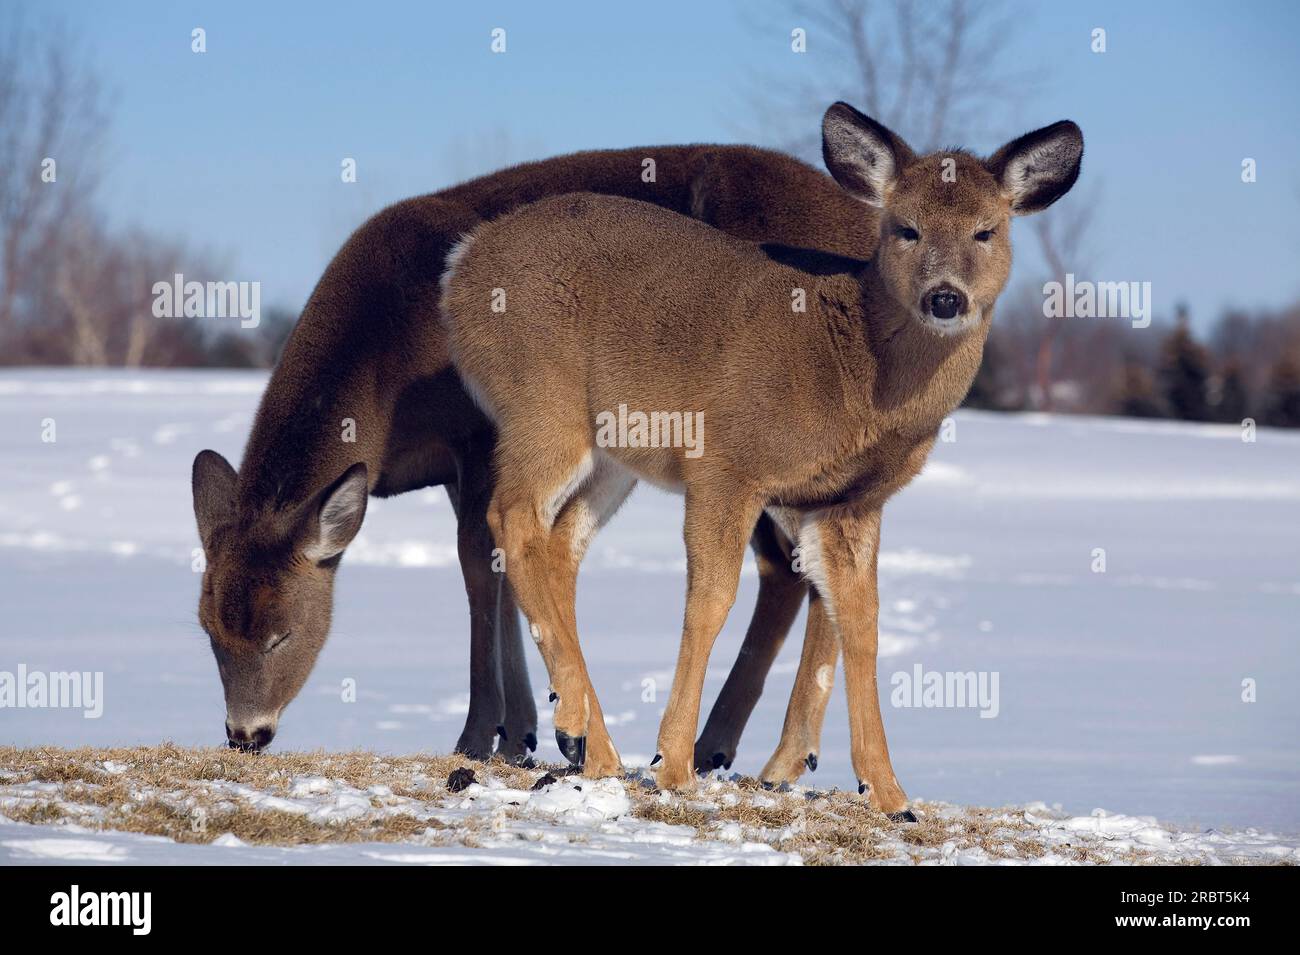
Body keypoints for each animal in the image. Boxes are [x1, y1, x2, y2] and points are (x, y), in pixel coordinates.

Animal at [189, 137, 888, 778]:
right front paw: (519, 731)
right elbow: (497, 570)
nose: (245, 734)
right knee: (797, 569)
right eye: (209, 630)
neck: (385, 360)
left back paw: (763, 755)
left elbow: (480, 566)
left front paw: (479, 734)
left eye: (282, 634)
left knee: (798, 568)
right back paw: (743, 750)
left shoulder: (477, 433)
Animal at [440, 103, 1083, 817]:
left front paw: (889, 792)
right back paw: (582, 729)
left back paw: (592, 748)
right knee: (513, 516)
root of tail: (460, 263)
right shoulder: (728, 464)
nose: (945, 297)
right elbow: (711, 600)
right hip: (543, 402)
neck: (856, 371)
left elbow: (862, 623)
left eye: (986, 230)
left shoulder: (847, 503)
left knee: (558, 543)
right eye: (905, 228)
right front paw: (674, 767)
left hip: (611, 458)